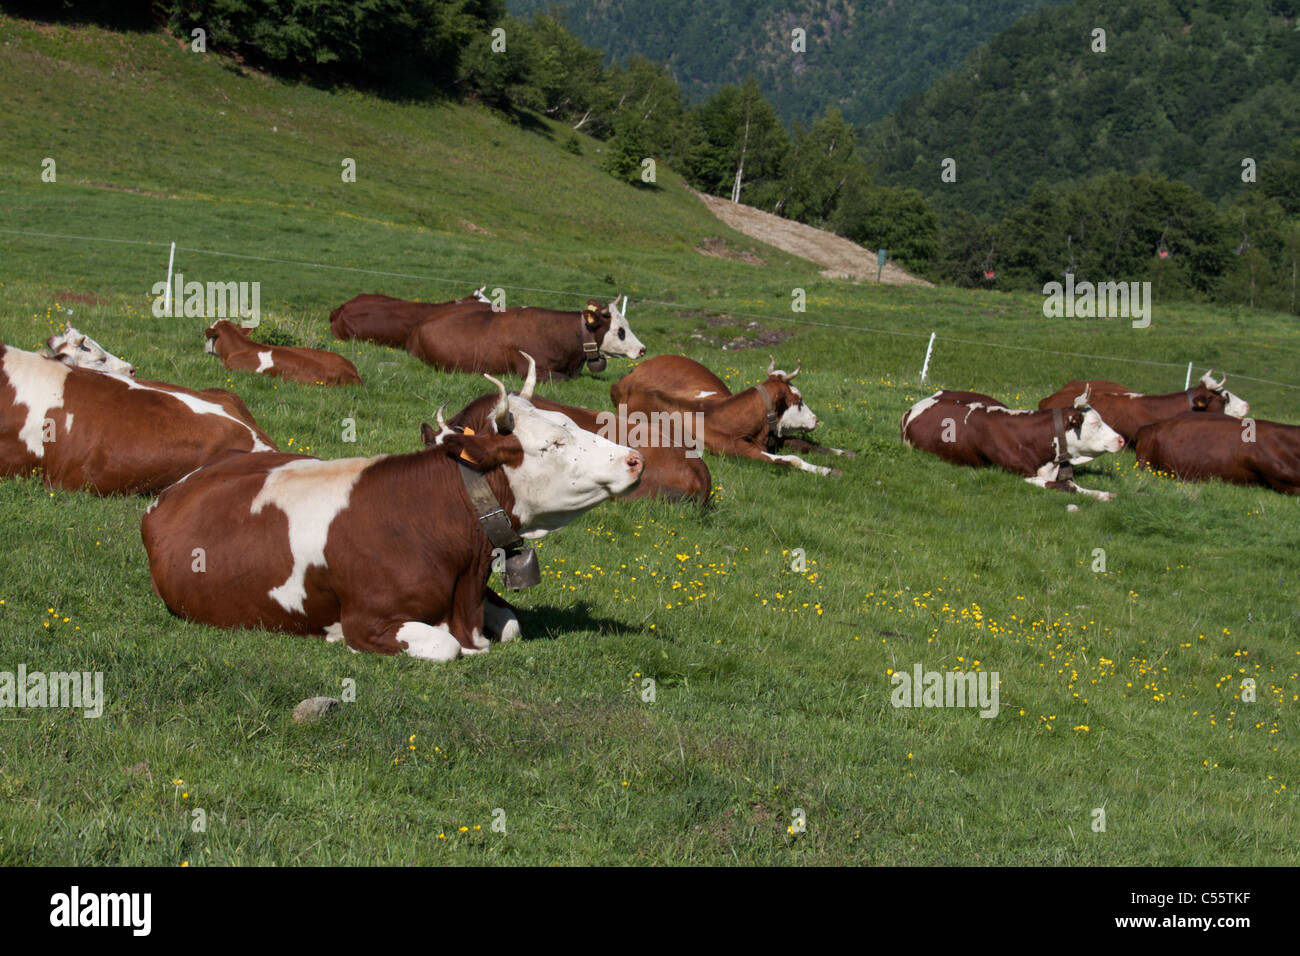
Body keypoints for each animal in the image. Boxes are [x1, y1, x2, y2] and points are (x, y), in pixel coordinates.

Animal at [141, 354, 645, 661]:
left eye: (566, 422)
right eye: (553, 443)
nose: (635, 458)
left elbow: (511, 626)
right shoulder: (369, 621)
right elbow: (445, 647)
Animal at [609, 355, 849, 476]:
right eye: (799, 400)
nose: (816, 419)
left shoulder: (773, 438)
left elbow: (802, 443)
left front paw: (842, 452)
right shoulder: (741, 451)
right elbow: (792, 459)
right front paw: (826, 470)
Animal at [900, 386, 1125, 498]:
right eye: (1095, 423)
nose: (1121, 439)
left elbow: (1072, 483)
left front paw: (1103, 494)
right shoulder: (1016, 474)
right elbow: (1066, 485)